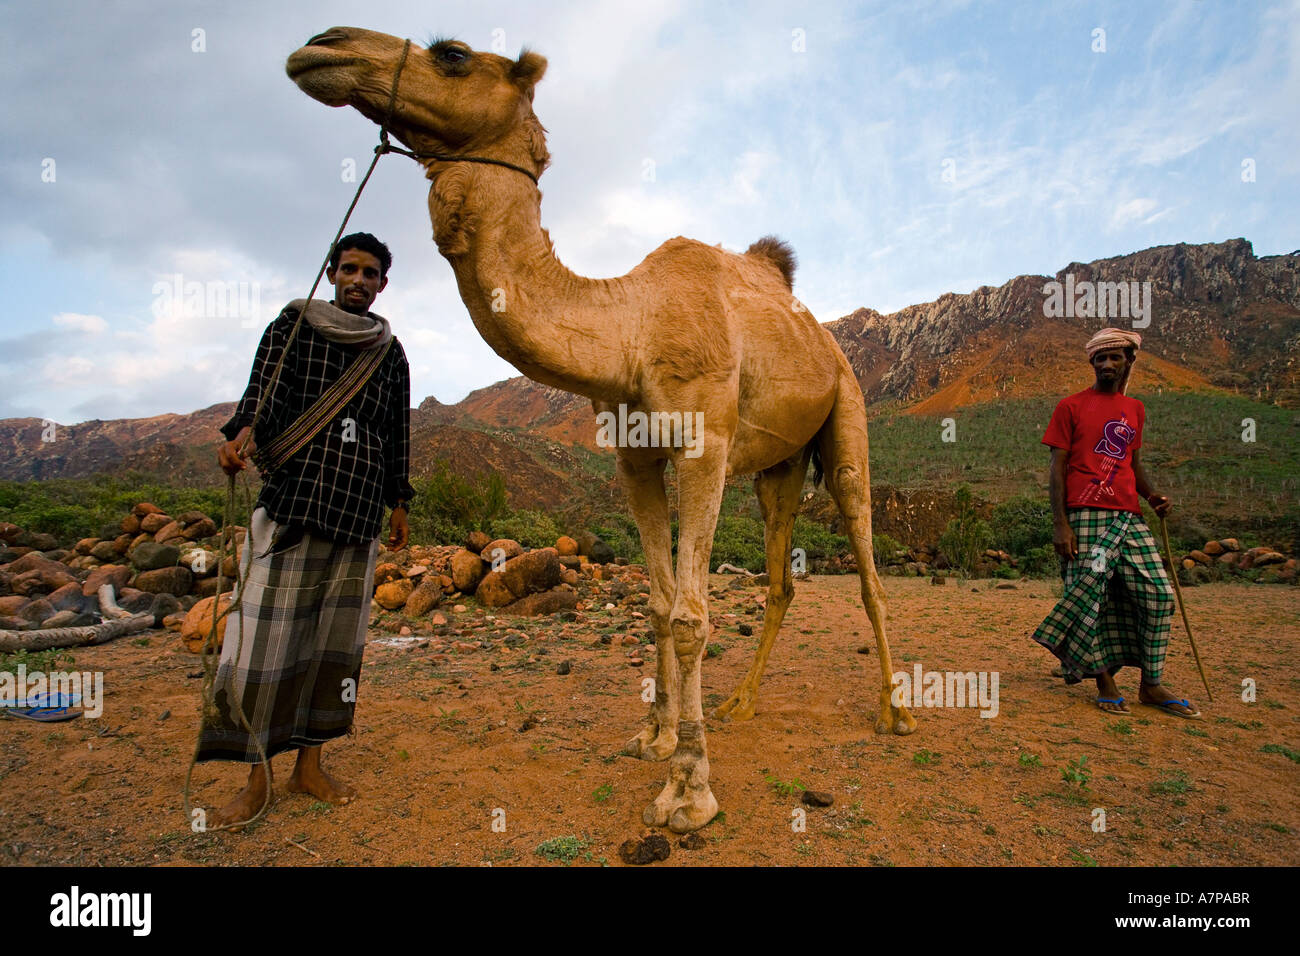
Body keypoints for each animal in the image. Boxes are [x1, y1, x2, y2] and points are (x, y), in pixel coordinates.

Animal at [286, 28, 915, 833]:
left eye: (451, 53)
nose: (322, 45)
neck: (630, 330)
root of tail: (825, 338)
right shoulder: (634, 459)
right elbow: (656, 603)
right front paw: (655, 738)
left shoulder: (704, 443)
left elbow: (691, 615)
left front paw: (689, 791)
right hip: (778, 464)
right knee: (780, 578)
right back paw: (741, 704)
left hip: (846, 414)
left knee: (867, 567)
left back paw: (895, 713)